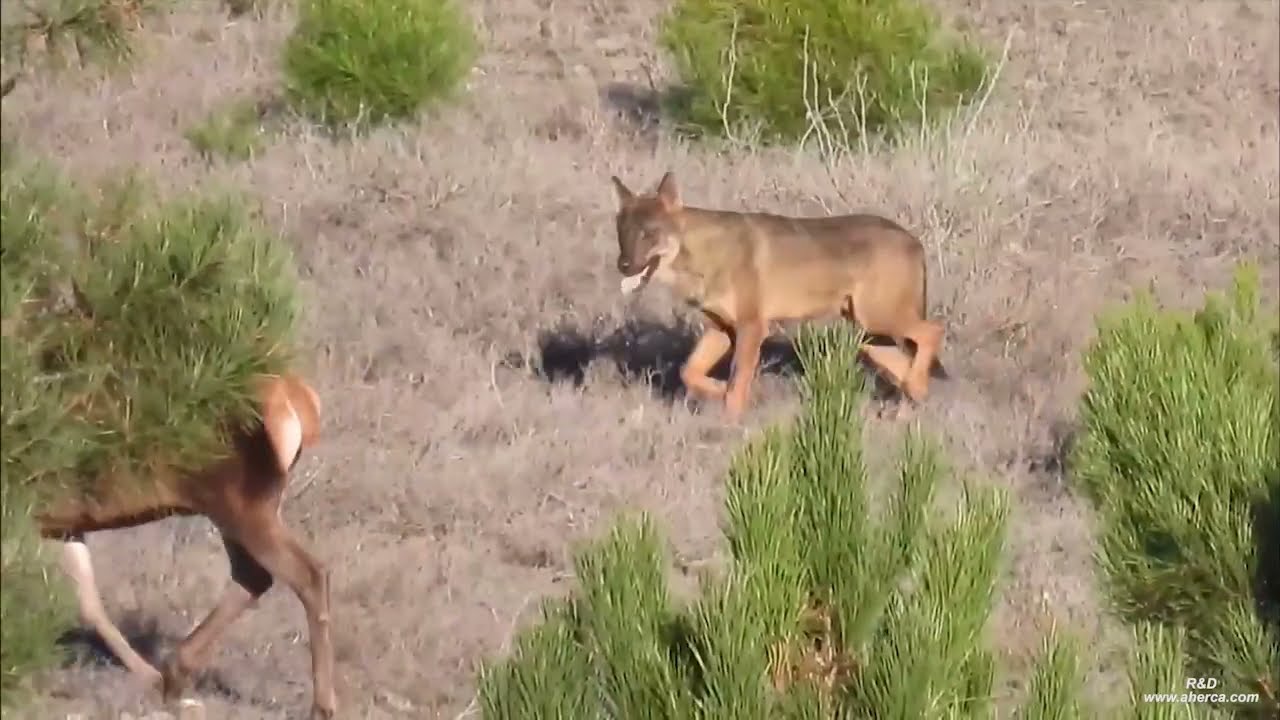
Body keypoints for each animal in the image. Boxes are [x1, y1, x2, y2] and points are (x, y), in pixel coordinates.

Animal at [35, 373, 337, 720]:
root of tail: (297, 397)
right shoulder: (63, 526)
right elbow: (89, 605)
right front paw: (149, 678)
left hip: (242, 503)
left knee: (307, 574)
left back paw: (322, 705)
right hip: (242, 507)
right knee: (254, 576)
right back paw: (175, 674)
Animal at [610, 170, 949, 422]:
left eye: (648, 233)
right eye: (623, 233)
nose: (622, 265)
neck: (702, 256)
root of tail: (914, 240)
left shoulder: (752, 327)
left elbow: (736, 384)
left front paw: (733, 421)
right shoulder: (721, 328)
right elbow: (689, 372)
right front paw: (725, 393)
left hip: (879, 321)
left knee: (933, 331)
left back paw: (915, 390)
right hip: (871, 335)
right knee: (908, 370)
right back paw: (909, 408)